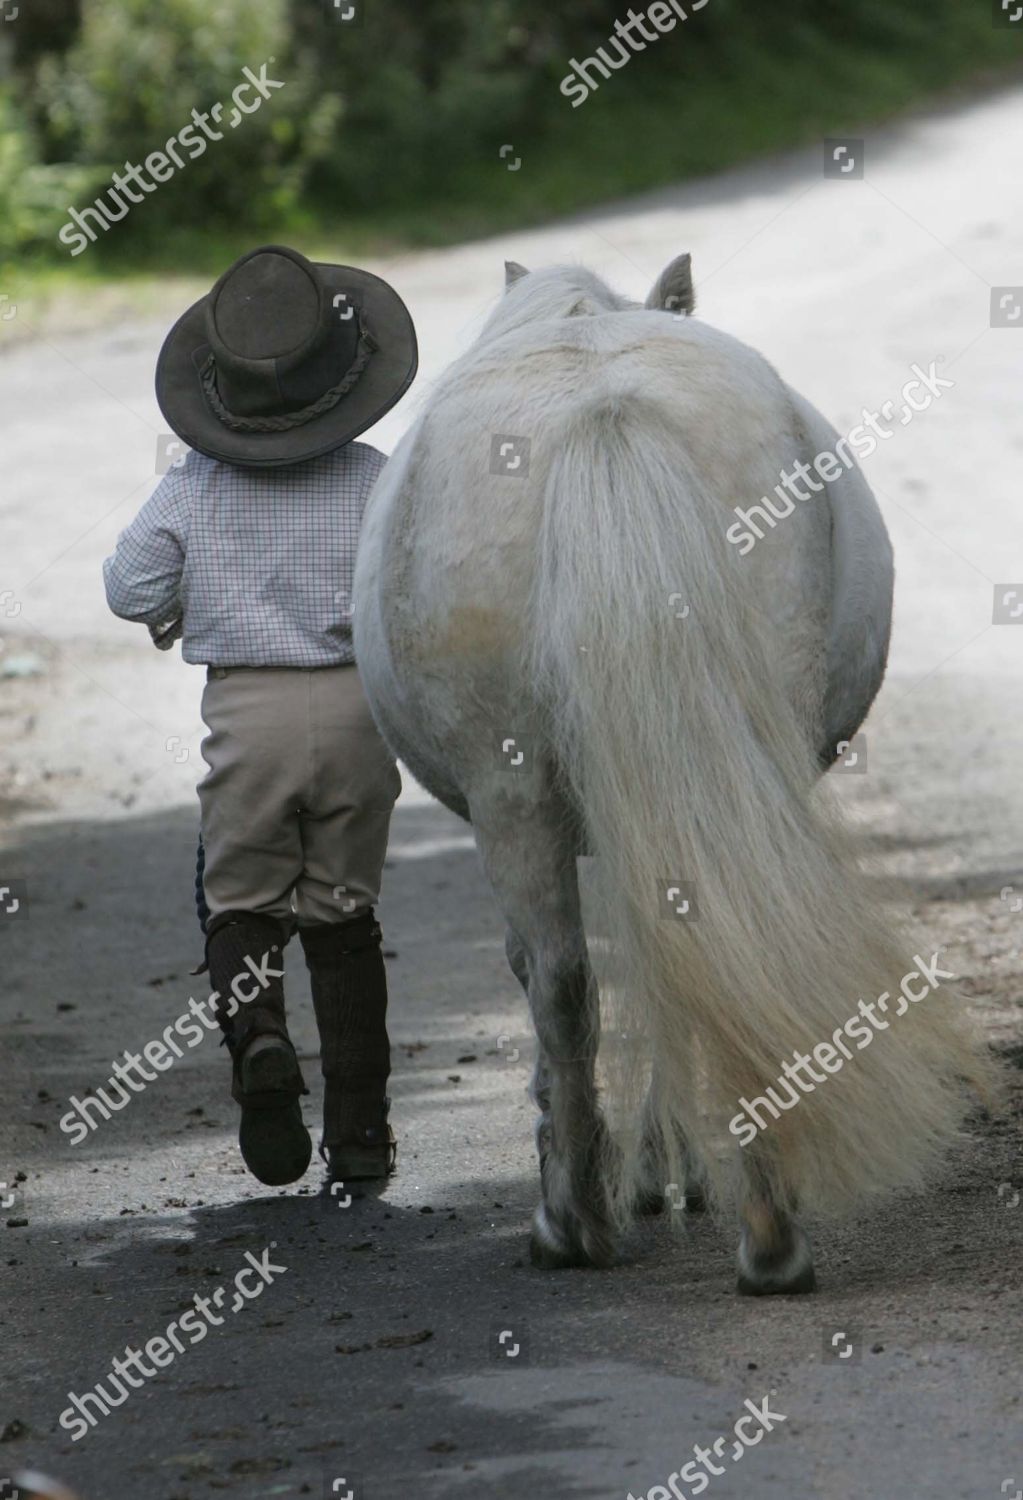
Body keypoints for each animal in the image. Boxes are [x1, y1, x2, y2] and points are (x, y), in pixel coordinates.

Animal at [352, 256, 982, 1294]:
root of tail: (604, 410)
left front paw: (648, 1174)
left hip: (512, 796)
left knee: (564, 984)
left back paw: (576, 1223)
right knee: (733, 940)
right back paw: (766, 1233)